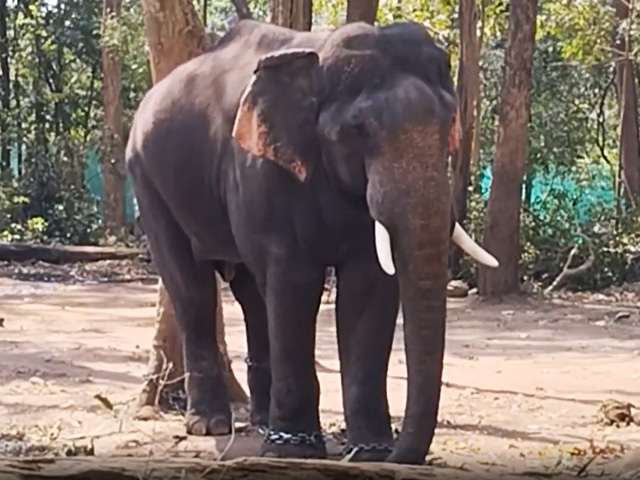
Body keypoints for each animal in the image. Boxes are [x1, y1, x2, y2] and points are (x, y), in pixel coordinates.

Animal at [126, 18, 498, 465]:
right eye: (358, 130)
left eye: (448, 125)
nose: (400, 453)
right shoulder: (264, 170)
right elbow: (294, 282)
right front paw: (294, 451)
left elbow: (368, 288)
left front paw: (370, 453)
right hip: (148, 179)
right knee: (192, 286)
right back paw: (210, 425)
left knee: (252, 294)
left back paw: (260, 420)